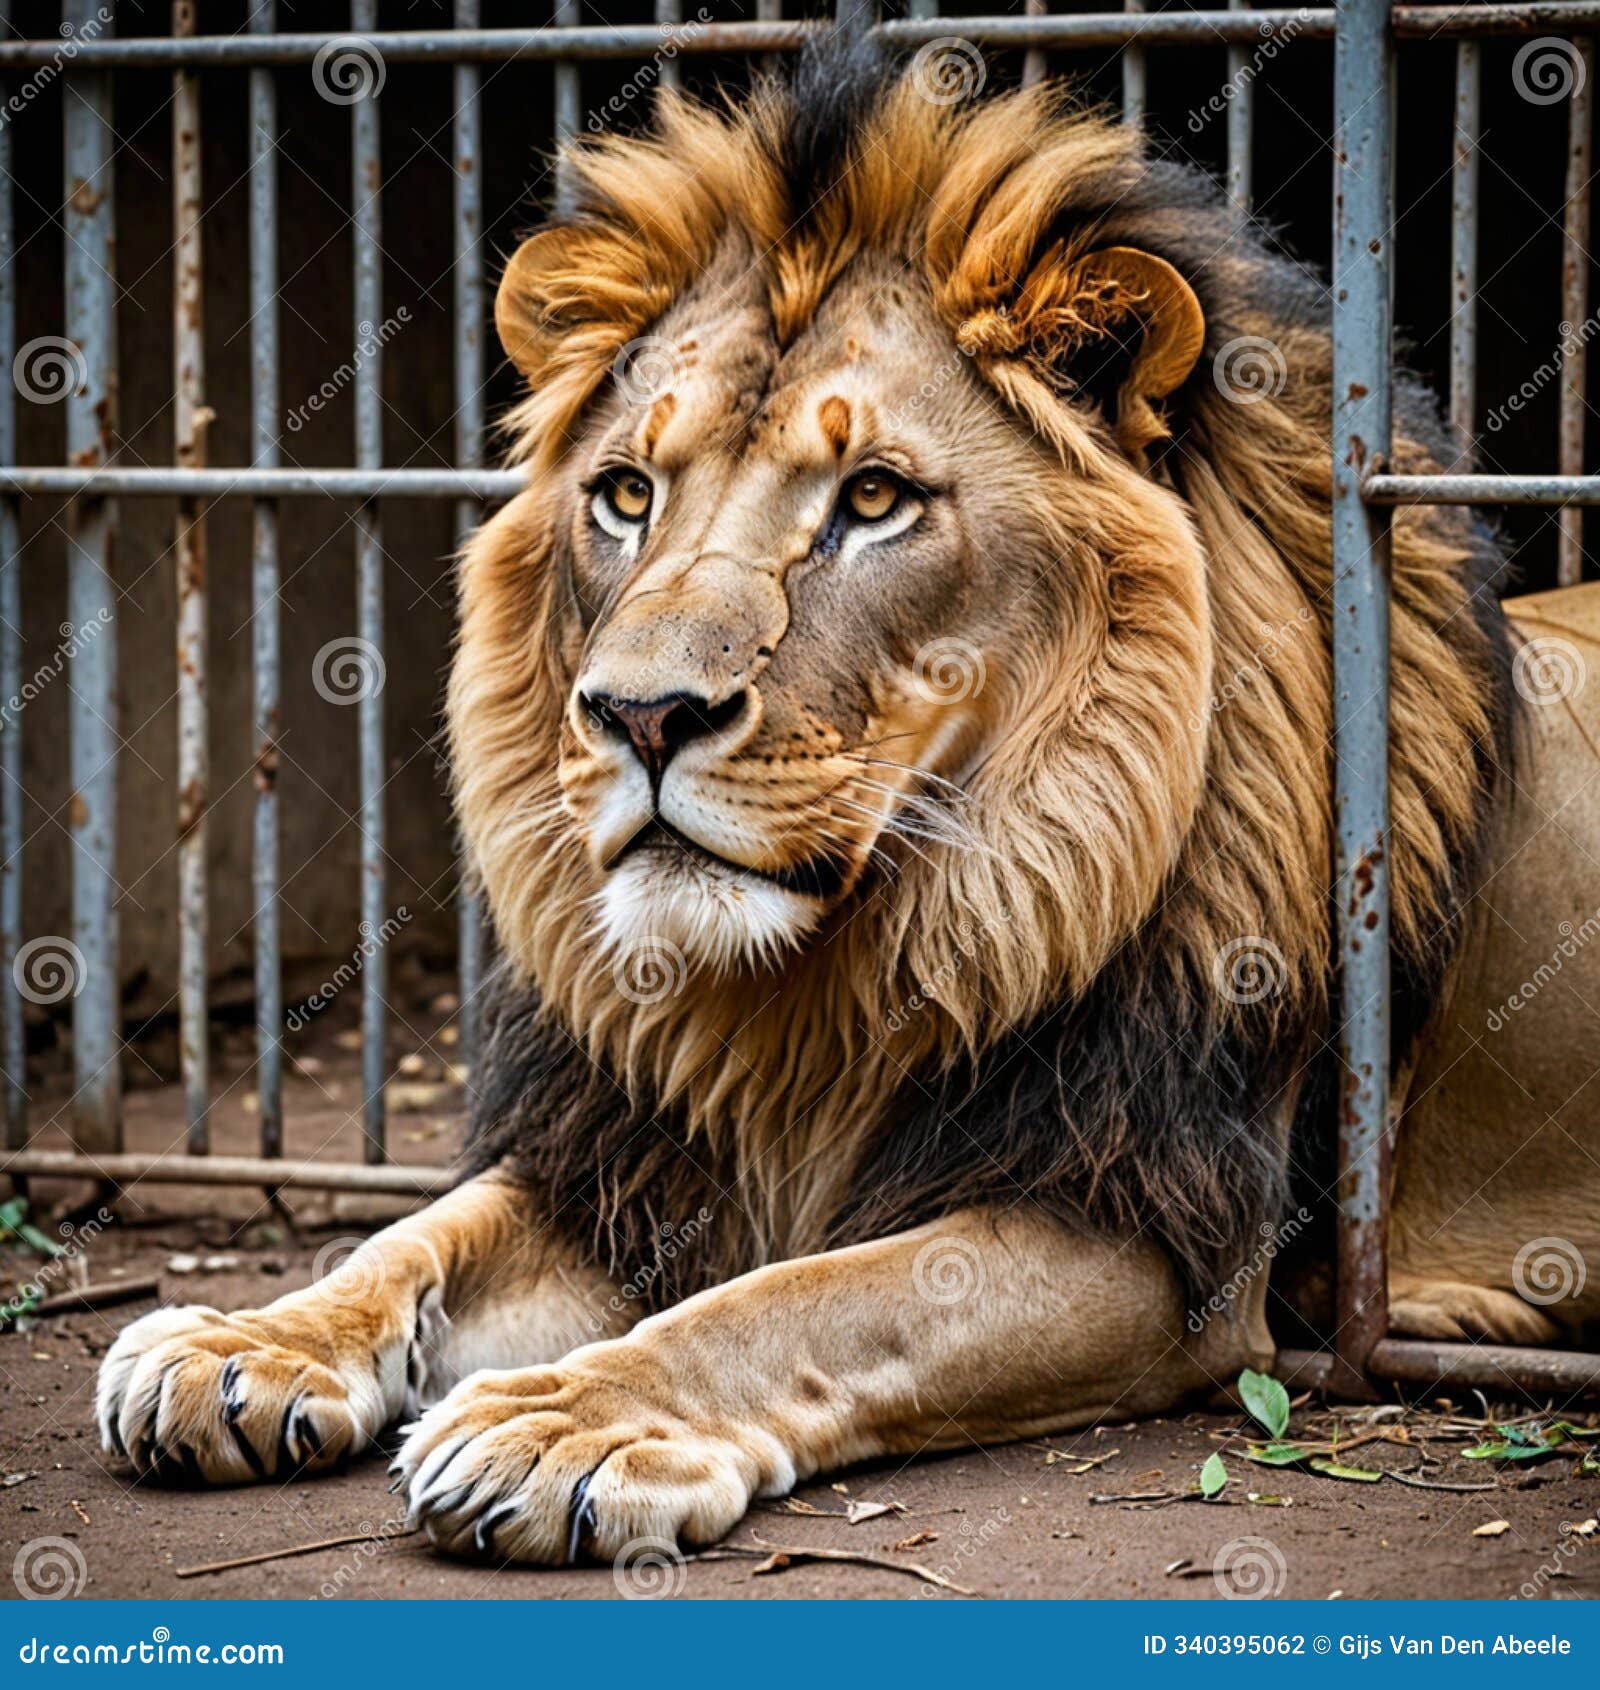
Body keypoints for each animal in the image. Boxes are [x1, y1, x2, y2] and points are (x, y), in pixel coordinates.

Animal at [96, 34, 1600, 1563]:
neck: (816, 990)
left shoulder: (1148, 1225)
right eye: (625, 495)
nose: (639, 713)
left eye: (874, 498)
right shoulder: (630, 1150)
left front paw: (574, 1421)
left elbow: (795, 1300)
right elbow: (420, 1233)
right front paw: (244, 1341)